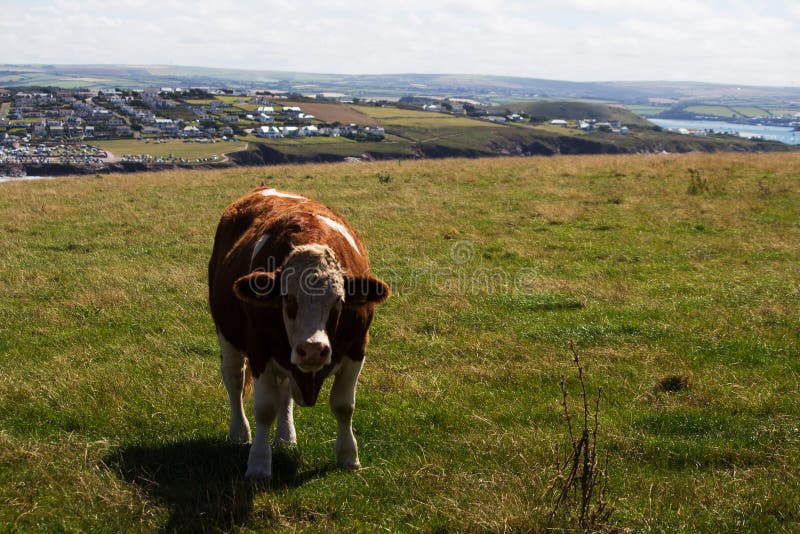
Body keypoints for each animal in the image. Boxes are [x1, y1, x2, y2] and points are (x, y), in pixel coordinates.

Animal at [208, 186, 389, 479]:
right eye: (288, 299)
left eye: (338, 301)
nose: (313, 349)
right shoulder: (259, 350)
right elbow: (264, 409)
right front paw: (258, 464)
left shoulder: (357, 347)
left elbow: (344, 405)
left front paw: (348, 456)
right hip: (227, 336)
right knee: (234, 379)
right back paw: (239, 433)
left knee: (285, 392)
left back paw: (286, 436)